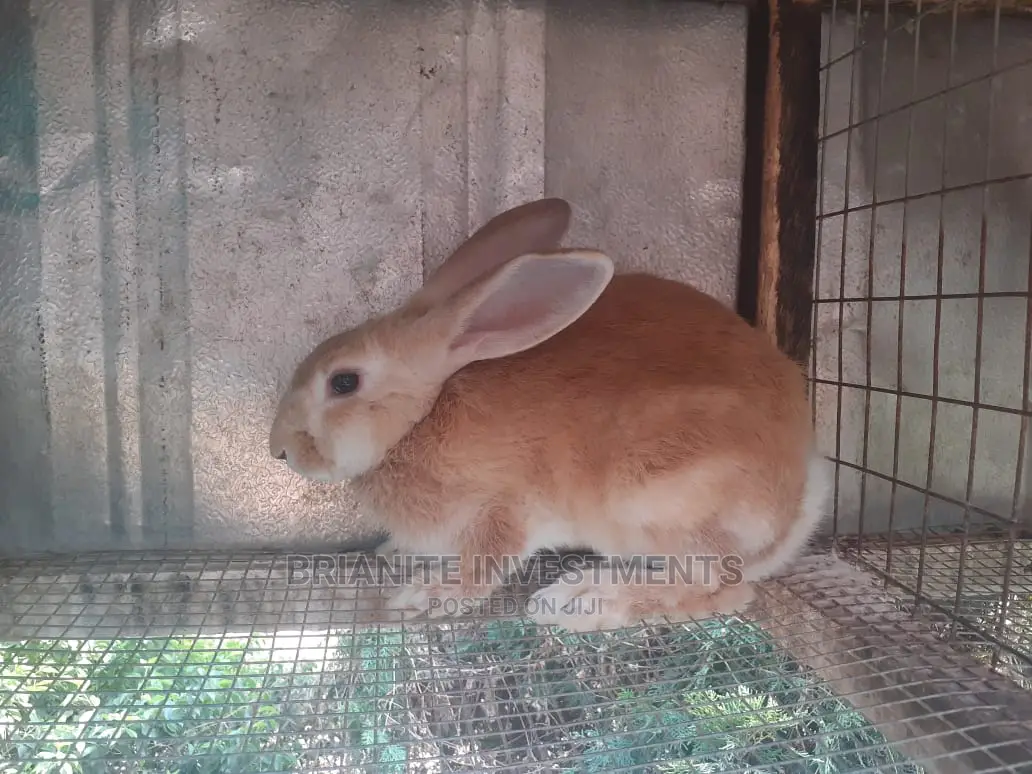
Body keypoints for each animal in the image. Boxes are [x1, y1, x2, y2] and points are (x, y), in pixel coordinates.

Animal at [268, 197, 831, 632]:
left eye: (343, 382)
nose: (279, 450)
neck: (418, 421)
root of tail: (793, 504)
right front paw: (395, 554)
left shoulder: (502, 508)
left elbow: (484, 566)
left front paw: (427, 595)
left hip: (655, 498)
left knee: (723, 588)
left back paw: (583, 601)